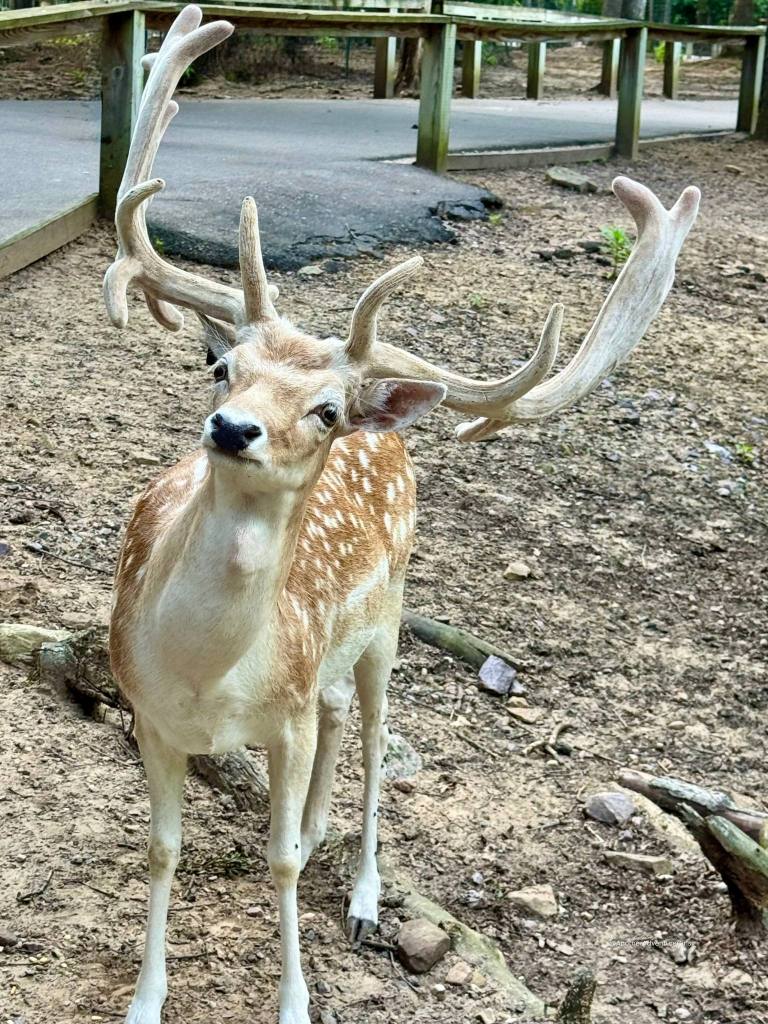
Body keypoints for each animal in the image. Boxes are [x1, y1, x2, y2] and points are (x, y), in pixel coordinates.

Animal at [102, 7, 700, 1023]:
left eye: (323, 410)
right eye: (222, 367)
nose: (232, 427)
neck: (208, 678)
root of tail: (393, 429)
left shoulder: (284, 715)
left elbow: (279, 862)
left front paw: (296, 999)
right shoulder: (147, 713)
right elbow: (160, 849)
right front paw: (146, 1001)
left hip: (390, 619)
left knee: (378, 732)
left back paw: (366, 893)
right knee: (344, 715)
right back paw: (324, 829)